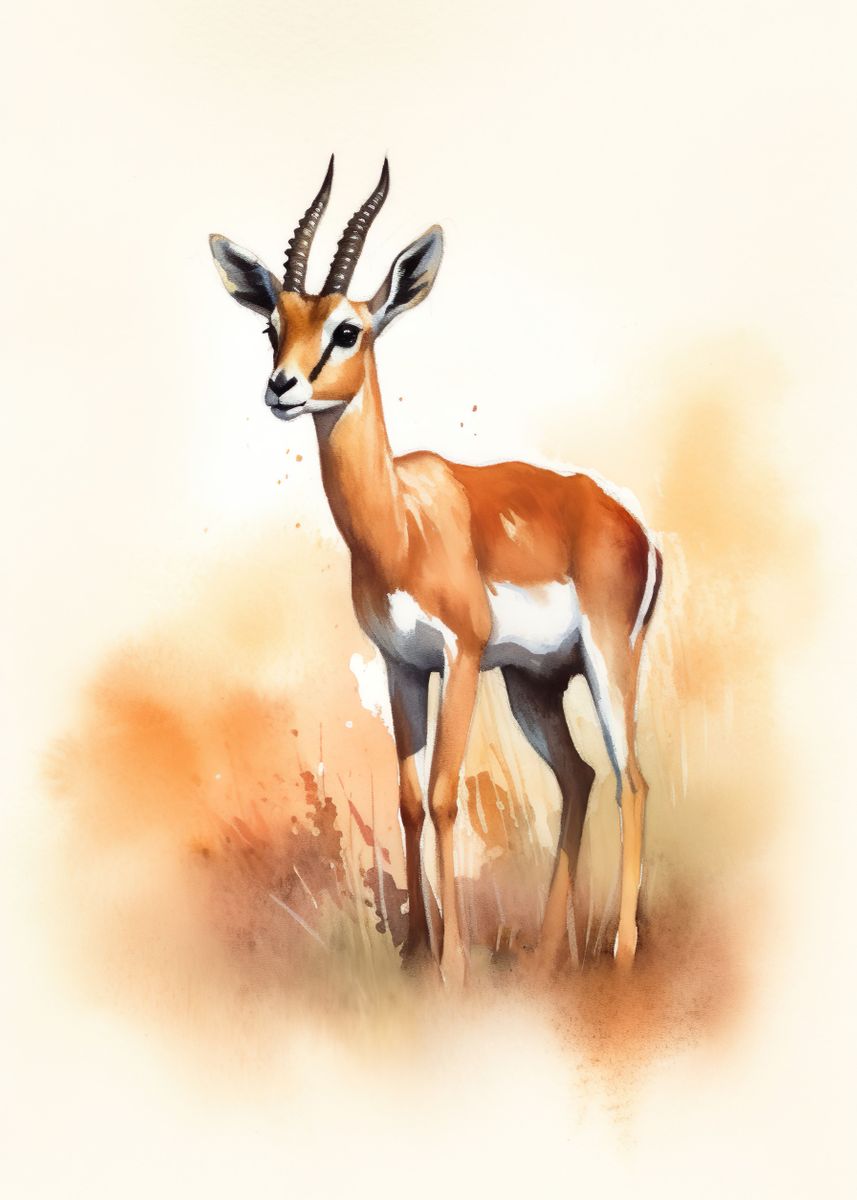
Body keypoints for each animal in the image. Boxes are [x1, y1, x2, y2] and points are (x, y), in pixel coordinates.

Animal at [209, 157, 662, 985]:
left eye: (346, 329)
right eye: (270, 326)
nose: (281, 387)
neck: (400, 522)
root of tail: (632, 525)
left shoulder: (461, 655)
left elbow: (446, 793)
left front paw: (452, 963)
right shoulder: (401, 665)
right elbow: (409, 798)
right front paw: (416, 952)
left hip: (606, 663)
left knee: (631, 778)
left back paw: (619, 954)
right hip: (532, 685)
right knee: (578, 777)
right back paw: (544, 956)